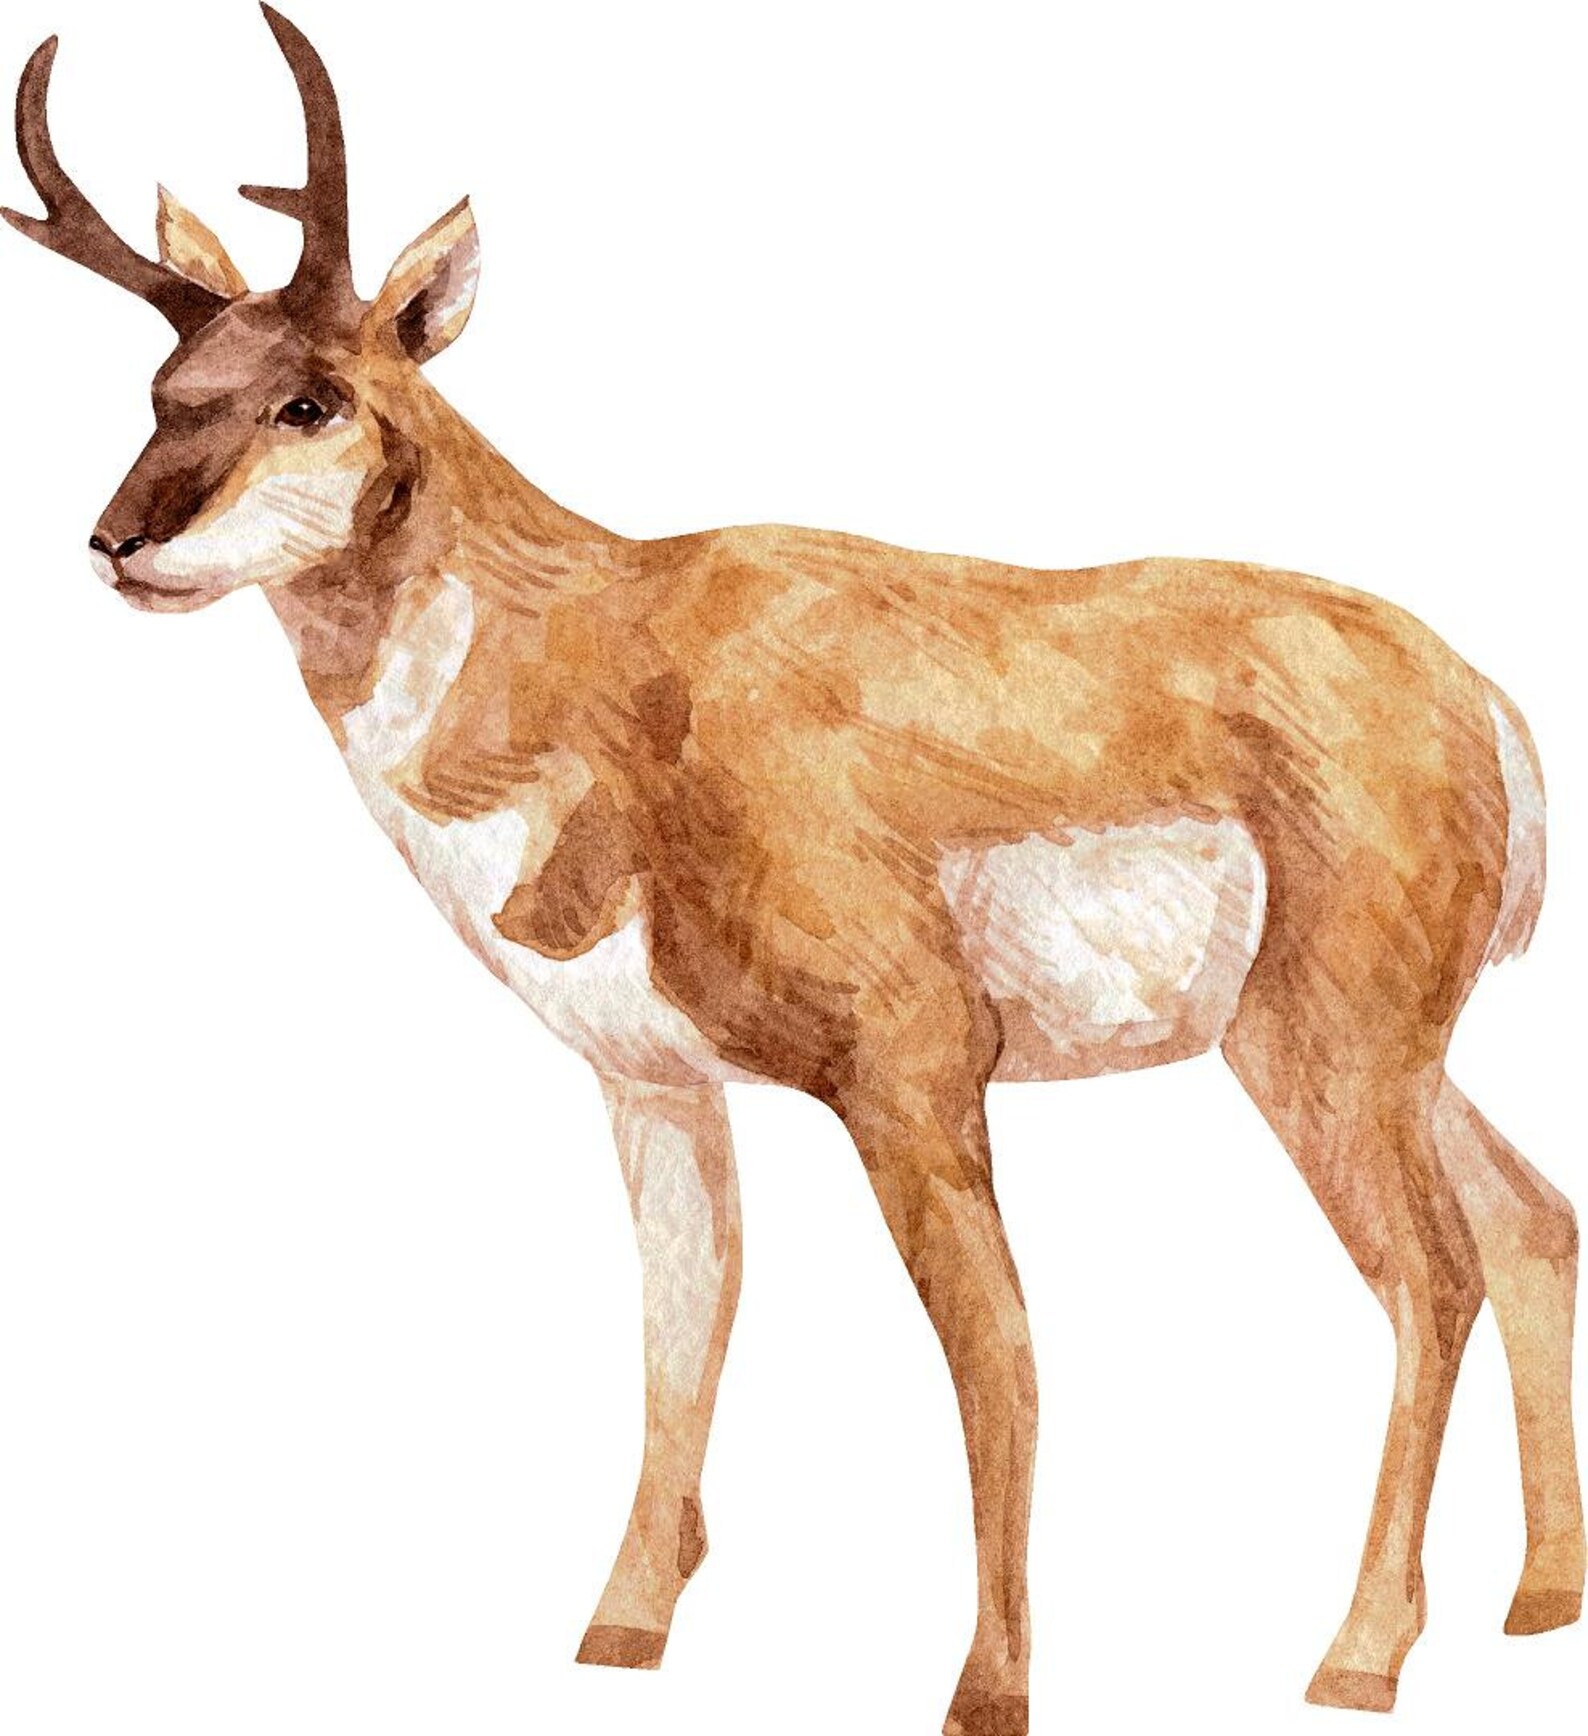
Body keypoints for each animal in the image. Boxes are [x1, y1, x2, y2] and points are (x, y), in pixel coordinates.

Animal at [4, 7, 1582, 1730]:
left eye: (312, 398)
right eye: (164, 386)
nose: (114, 543)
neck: (604, 664)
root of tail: (1478, 696)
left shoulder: (912, 1071)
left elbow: (999, 1356)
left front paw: (986, 1695)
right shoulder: (653, 1086)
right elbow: (683, 1334)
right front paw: (620, 1633)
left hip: (1323, 1051)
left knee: (1432, 1275)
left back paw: (1355, 1658)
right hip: (1380, 1056)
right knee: (1532, 1222)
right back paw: (1538, 1604)